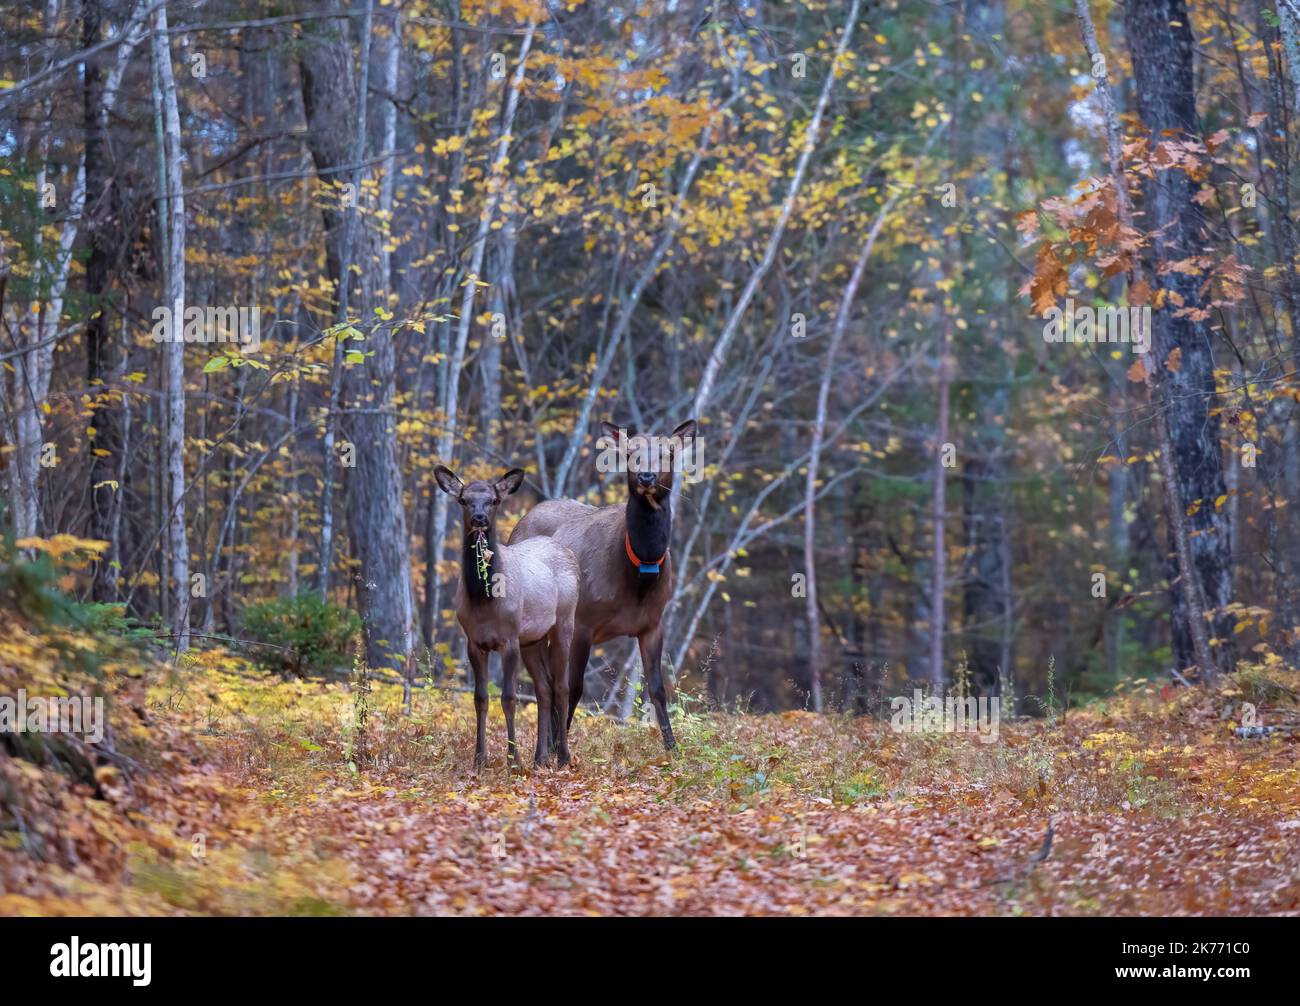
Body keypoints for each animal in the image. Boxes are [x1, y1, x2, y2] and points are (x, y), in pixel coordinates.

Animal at [434, 466, 580, 768]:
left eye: (494, 500)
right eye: (463, 500)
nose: (479, 518)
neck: (485, 600)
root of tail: (568, 552)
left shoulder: (509, 639)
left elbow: (509, 698)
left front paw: (513, 759)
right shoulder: (474, 642)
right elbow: (480, 698)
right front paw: (479, 759)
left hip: (564, 623)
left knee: (561, 687)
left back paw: (563, 757)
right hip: (532, 639)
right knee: (544, 689)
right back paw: (540, 758)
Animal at [508, 418, 697, 753]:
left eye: (669, 453)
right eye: (630, 453)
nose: (646, 476)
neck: (637, 575)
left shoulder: (653, 623)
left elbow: (658, 688)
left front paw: (672, 748)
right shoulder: (583, 621)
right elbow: (574, 688)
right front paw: (561, 748)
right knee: (547, 682)